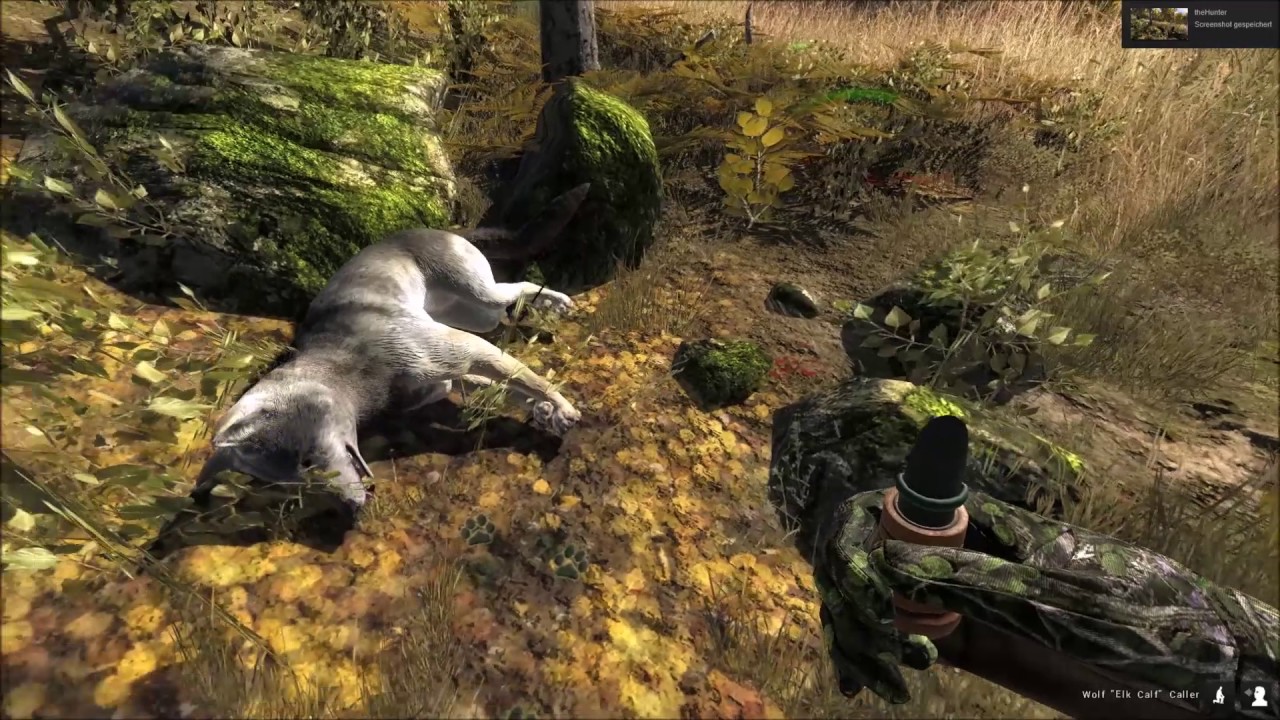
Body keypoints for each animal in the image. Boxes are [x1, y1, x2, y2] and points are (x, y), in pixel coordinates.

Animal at [184, 184, 591, 513]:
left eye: (307, 461)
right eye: (296, 485)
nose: (353, 507)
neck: (340, 368)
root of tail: (440, 229)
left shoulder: (462, 349)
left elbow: (527, 378)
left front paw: (561, 408)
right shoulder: (449, 373)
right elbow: (501, 388)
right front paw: (541, 411)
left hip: (477, 296)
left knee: (514, 288)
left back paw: (556, 302)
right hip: (475, 316)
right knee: (508, 304)